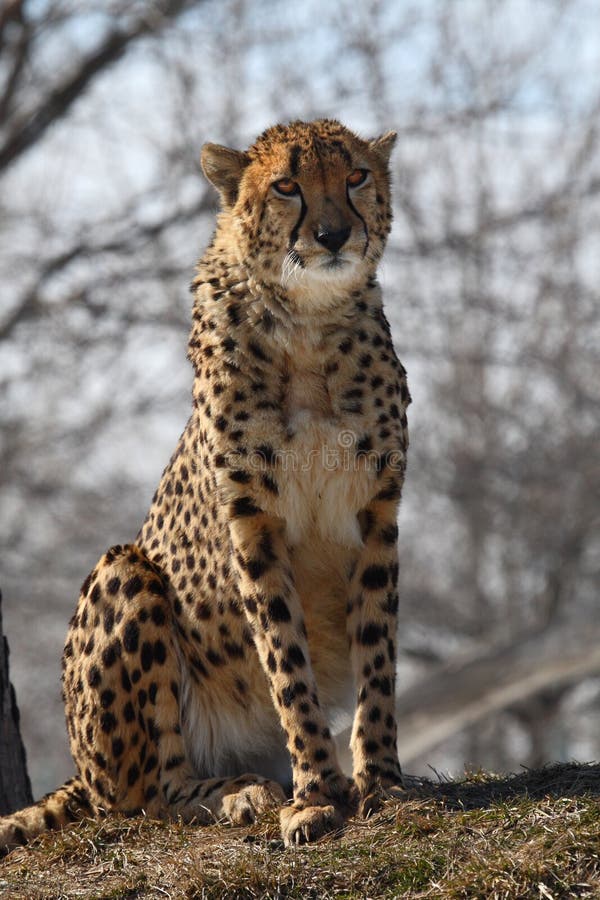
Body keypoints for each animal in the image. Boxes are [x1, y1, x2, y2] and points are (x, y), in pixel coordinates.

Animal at [0, 118, 410, 852]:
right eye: (287, 185)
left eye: (357, 176)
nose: (334, 235)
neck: (309, 324)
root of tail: (77, 770)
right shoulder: (252, 522)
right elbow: (286, 664)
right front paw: (313, 796)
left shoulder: (377, 511)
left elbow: (378, 658)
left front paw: (380, 781)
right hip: (125, 574)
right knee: (143, 798)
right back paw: (240, 792)